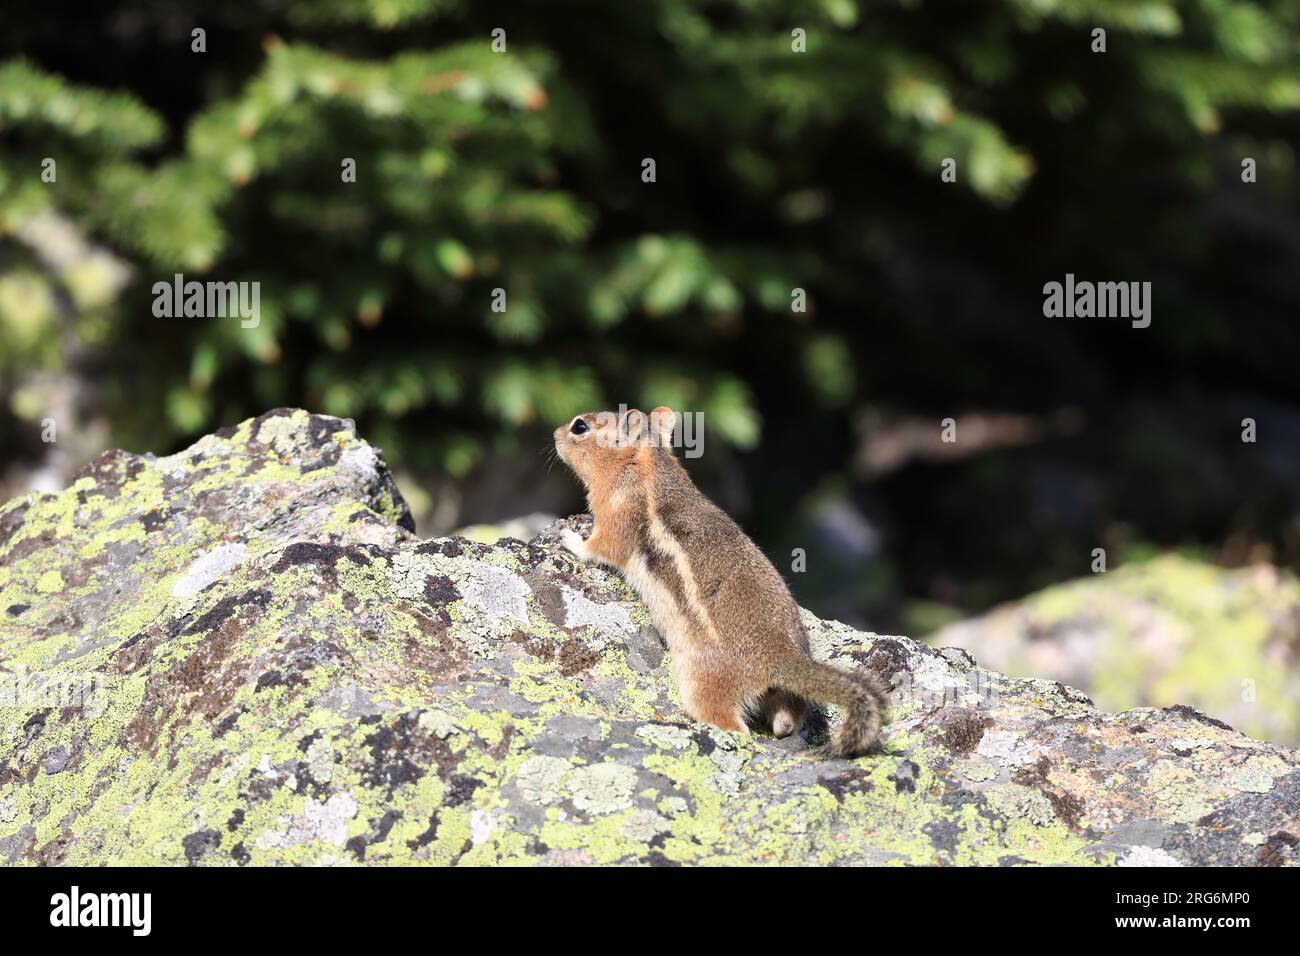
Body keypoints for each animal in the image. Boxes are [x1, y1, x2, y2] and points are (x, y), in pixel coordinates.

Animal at [553, 405, 887, 758]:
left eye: (579, 427)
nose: (555, 434)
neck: (643, 463)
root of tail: (779, 658)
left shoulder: (617, 518)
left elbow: (599, 548)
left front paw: (570, 539)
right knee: (790, 713)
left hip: (701, 683)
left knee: (732, 725)